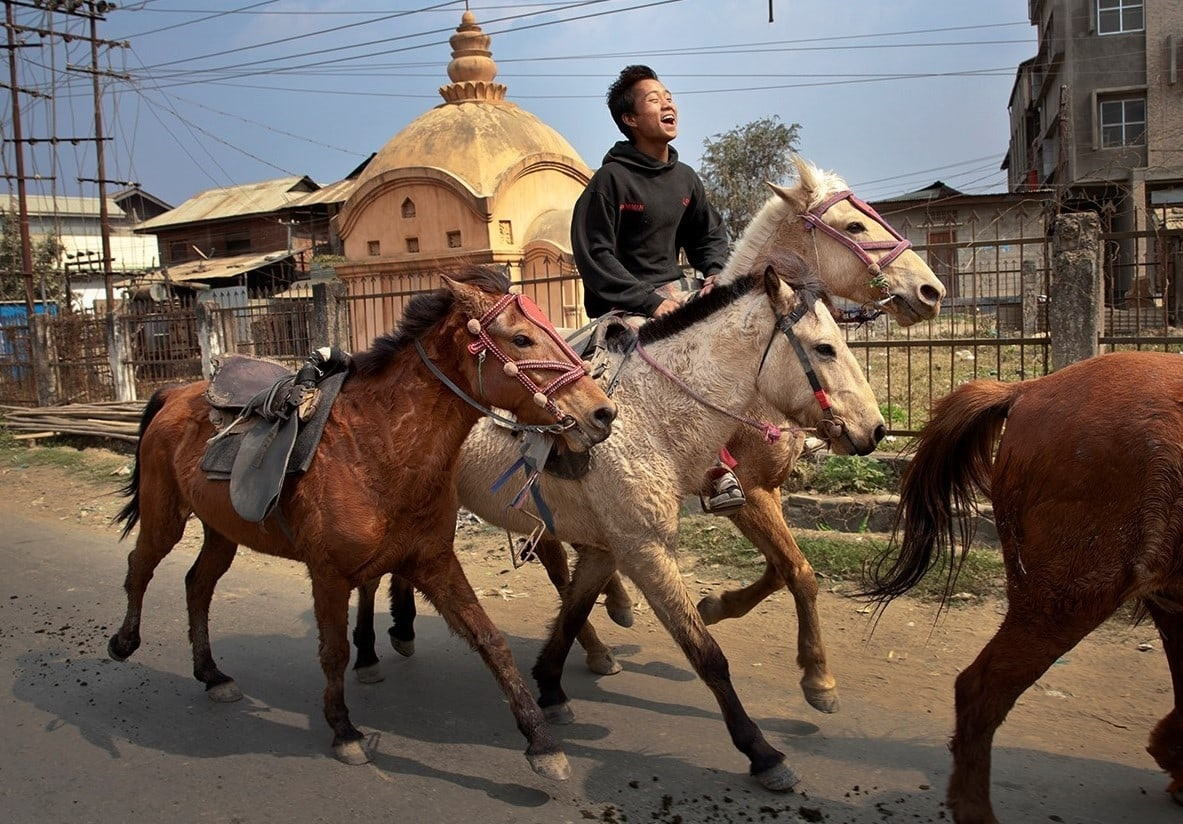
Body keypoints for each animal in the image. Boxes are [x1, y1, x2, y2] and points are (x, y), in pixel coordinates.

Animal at [106, 267, 615, 775]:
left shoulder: (433, 561)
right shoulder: (328, 575)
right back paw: (124, 642)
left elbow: (491, 640)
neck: (377, 445)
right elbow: (334, 651)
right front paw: (343, 729)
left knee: (197, 584)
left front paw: (541, 740)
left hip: (222, 532)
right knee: (139, 566)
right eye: (522, 338)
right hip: (164, 516)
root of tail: (176, 392)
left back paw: (211, 674)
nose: (602, 412)